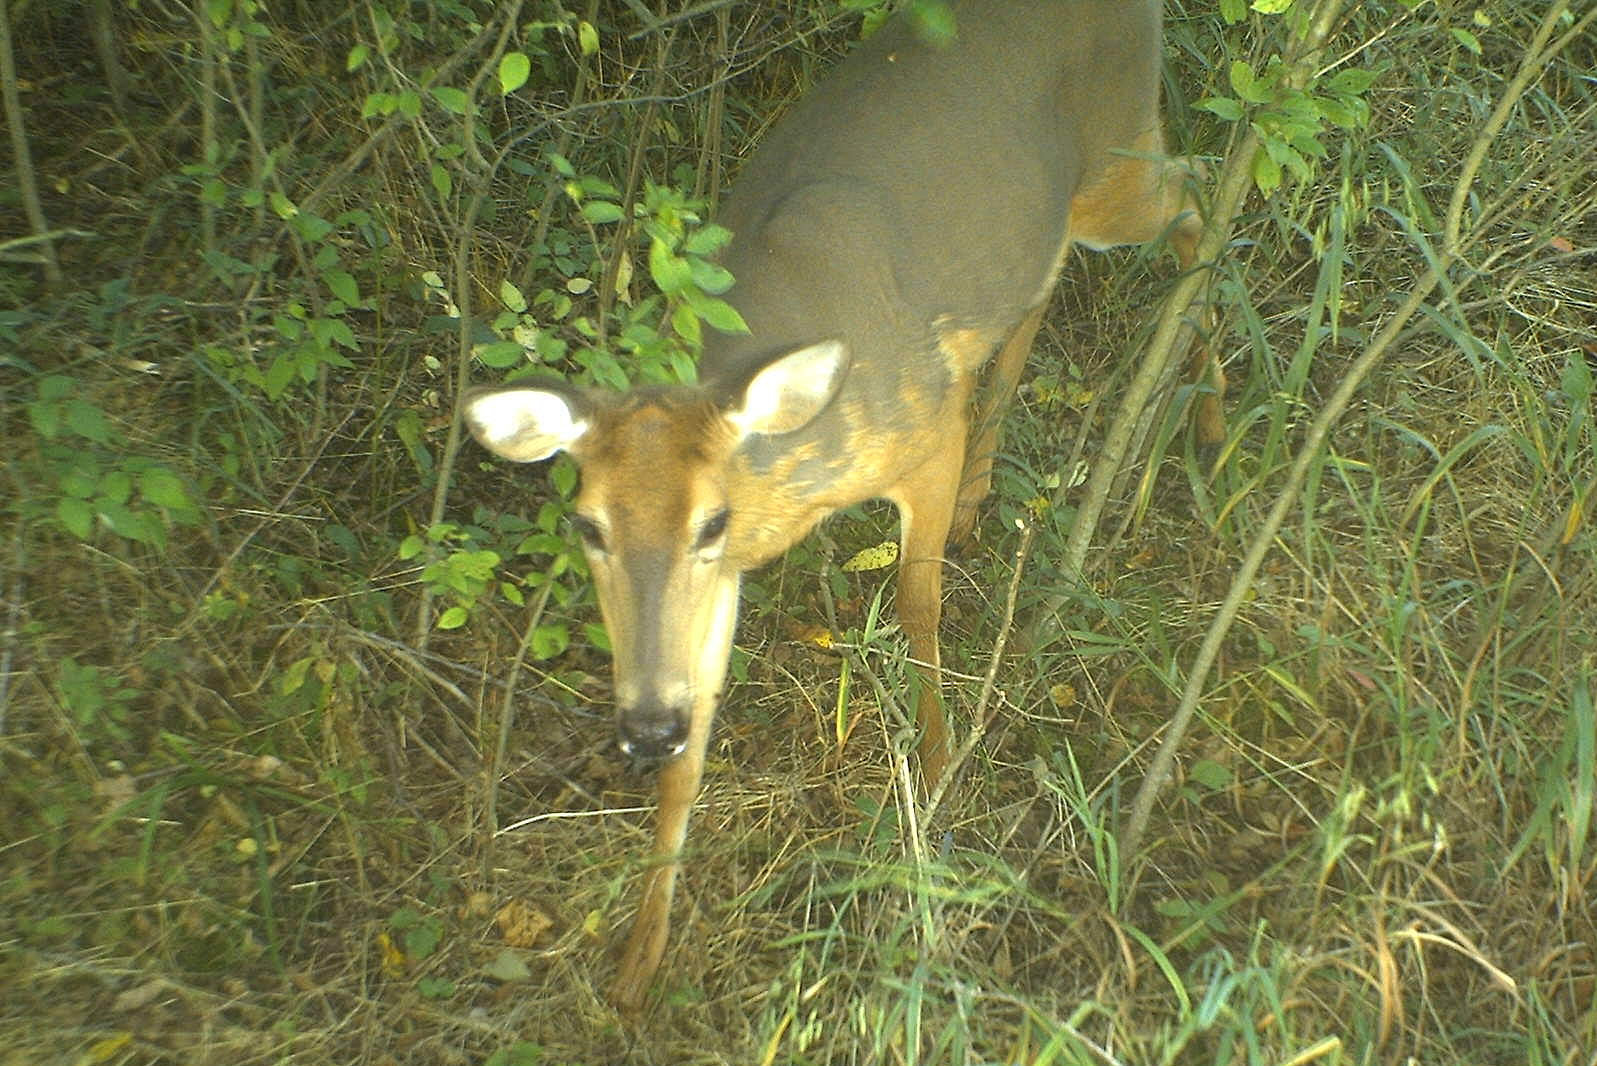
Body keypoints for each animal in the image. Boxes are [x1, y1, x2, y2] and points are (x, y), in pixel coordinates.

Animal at [462, 0, 1215, 1013]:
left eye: (710, 520)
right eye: (588, 526)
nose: (642, 726)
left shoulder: (920, 429)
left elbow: (916, 603)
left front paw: (936, 771)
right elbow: (693, 747)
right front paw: (638, 959)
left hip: (1119, 157)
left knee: (1200, 193)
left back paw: (1211, 422)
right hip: (1059, 208)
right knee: (1053, 272)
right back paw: (1002, 479)